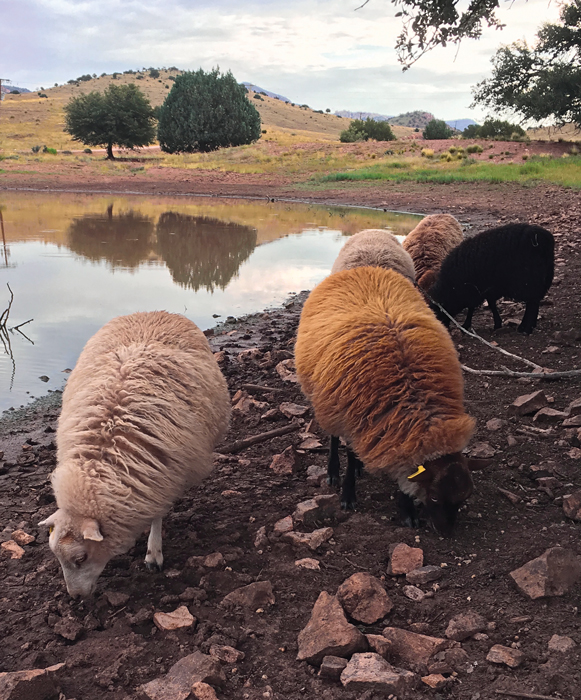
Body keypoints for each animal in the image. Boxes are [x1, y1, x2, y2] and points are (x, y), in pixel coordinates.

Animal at [39, 311, 230, 597]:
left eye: (81, 558)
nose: (76, 597)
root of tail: (155, 311)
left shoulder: (163, 473)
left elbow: (156, 515)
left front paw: (153, 554)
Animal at [295, 266, 487, 536]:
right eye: (435, 497)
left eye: (464, 498)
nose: (446, 534)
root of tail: (363, 268)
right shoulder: (355, 418)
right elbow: (351, 456)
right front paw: (348, 495)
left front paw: (407, 510)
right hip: (327, 401)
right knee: (333, 438)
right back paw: (333, 471)